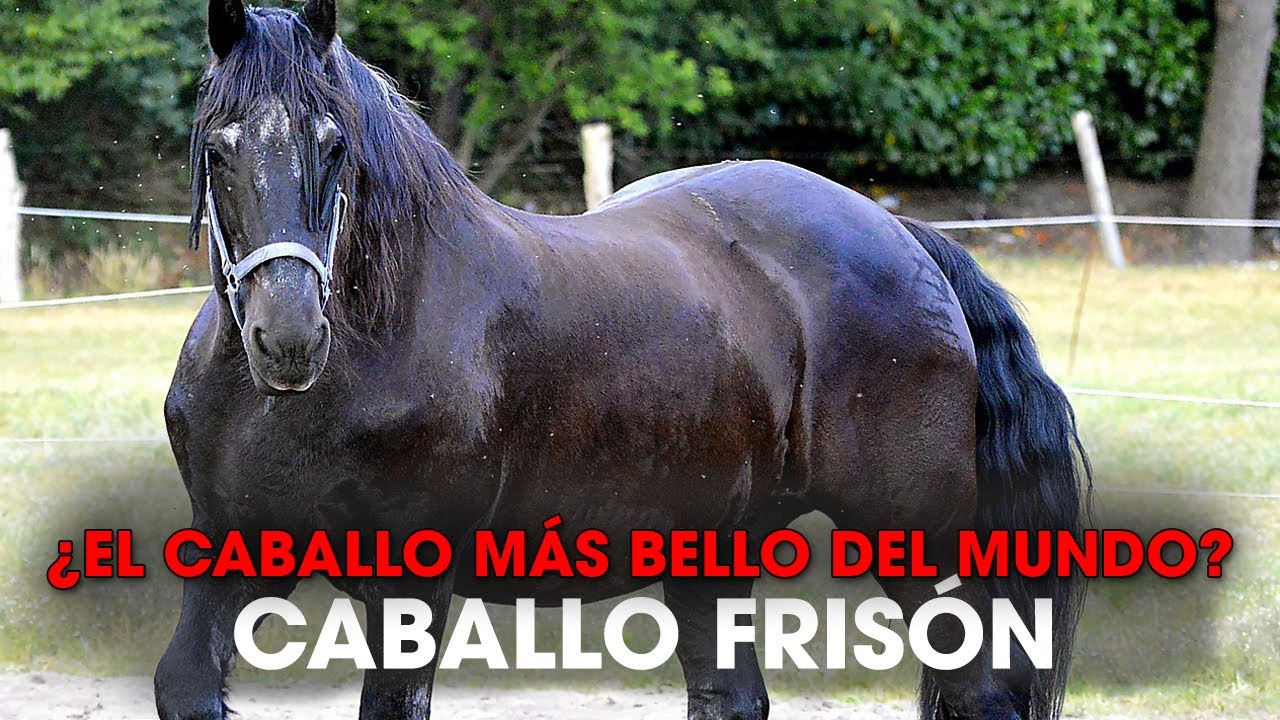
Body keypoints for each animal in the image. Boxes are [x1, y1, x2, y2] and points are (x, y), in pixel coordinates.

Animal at [155, 2, 1090, 719]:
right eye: (217, 147)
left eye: (336, 144)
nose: (288, 338)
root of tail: (902, 234)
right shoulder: (233, 551)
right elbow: (183, 685)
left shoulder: (411, 587)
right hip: (718, 549)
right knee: (730, 697)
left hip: (915, 539)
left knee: (979, 691)